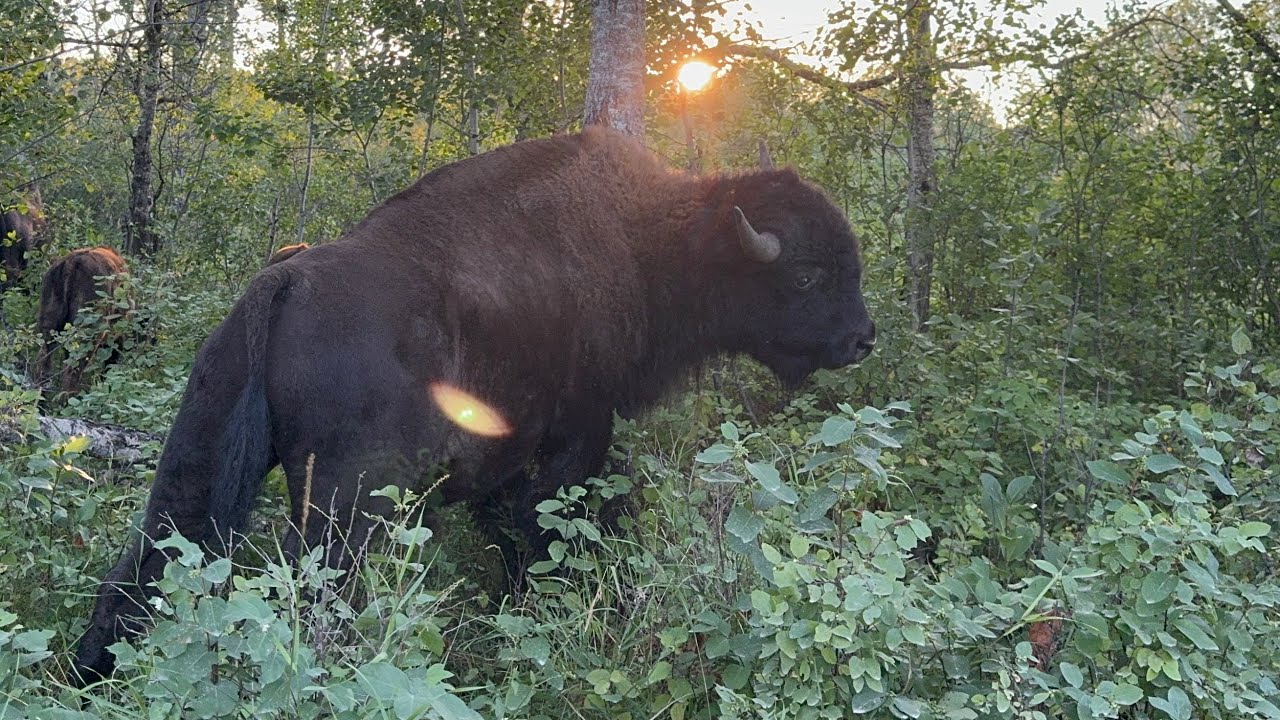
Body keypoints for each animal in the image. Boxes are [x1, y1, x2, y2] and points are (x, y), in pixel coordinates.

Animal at [73, 128, 876, 683]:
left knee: (141, 573)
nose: (861, 339)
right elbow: (544, 536)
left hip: (200, 450)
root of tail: (284, 282)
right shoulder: (571, 438)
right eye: (807, 275)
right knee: (317, 594)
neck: (649, 238)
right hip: (351, 496)